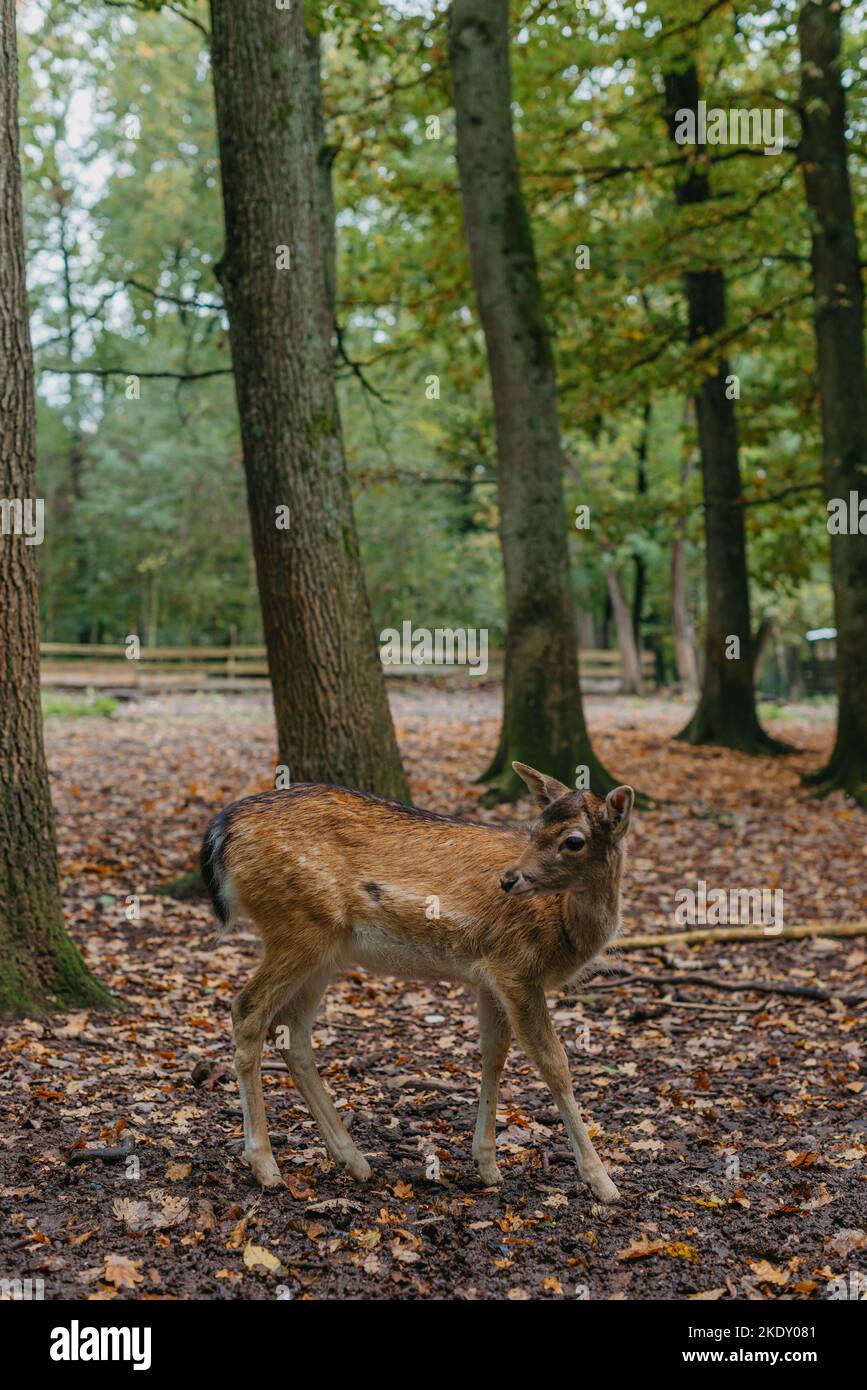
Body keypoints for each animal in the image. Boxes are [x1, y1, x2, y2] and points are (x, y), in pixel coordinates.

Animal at [201, 761, 634, 1204]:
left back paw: (353, 1160)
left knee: (291, 1029)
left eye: (573, 840)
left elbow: (493, 1055)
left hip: (324, 950)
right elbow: (555, 1065)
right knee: (248, 1010)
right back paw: (265, 1165)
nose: (510, 880)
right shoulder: (518, 968)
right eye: (536, 827)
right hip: (296, 927)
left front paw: (487, 1165)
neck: (566, 928)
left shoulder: (491, 975)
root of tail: (222, 831)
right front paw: (602, 1182)